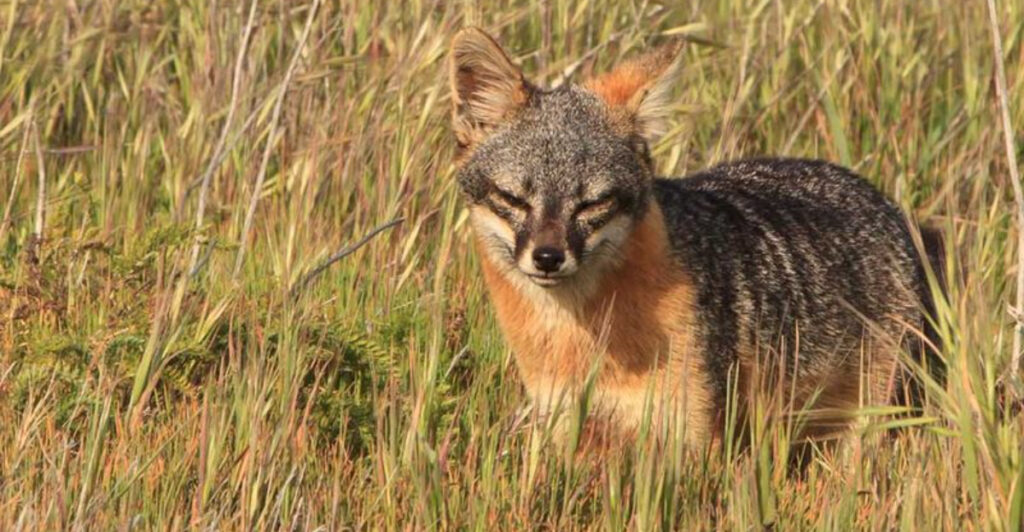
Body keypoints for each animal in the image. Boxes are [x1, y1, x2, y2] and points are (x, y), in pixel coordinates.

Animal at [448, 28, 941, 445]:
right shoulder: (566, 423)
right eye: (513, 198)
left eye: (592, 203)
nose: (548, 257)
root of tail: (880, 198)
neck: (578, 336)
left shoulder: (691, 434)